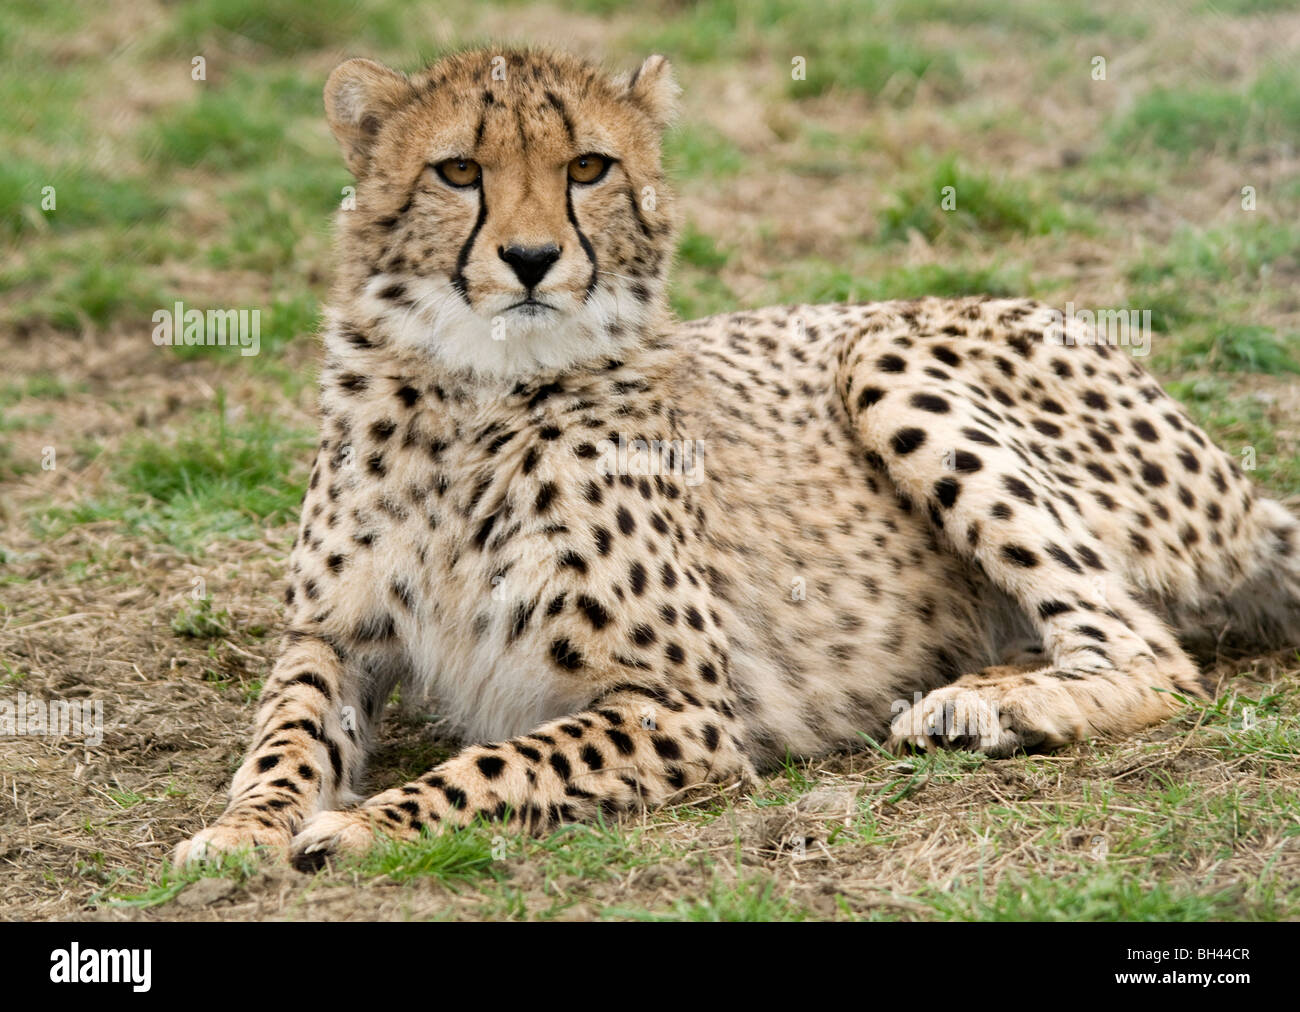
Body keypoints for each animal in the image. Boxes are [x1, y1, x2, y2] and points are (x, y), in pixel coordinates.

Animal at [174, 47, 1300, 870]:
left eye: (588, 168)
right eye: (458, 171)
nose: (532, 259)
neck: (477, 392)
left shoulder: (683, 710)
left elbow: (497, 764)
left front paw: (362, 824)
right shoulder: (330, 632)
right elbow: (284, 734)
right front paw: (239, 829)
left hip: (880, 353)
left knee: (1148, 649)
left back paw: (994, 702)